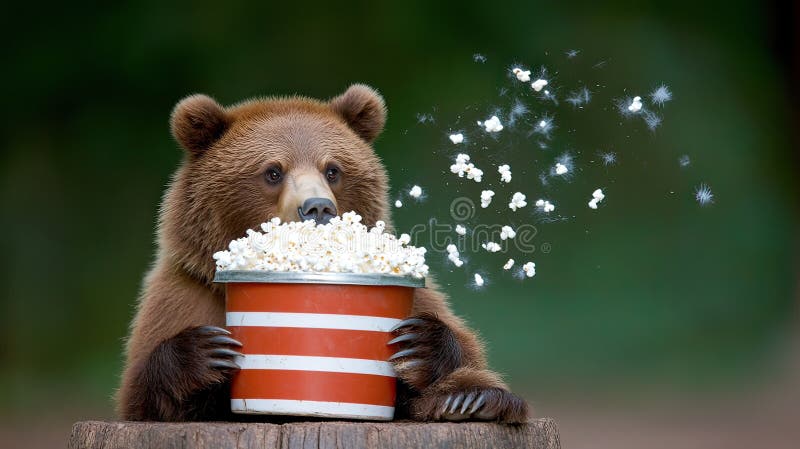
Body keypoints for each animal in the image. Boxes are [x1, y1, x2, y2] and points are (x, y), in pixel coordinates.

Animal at [116, 84, 530, 423]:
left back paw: (473, 400)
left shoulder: (417, 298)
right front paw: (207, 351)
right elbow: (143, 397)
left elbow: (456, 346)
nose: (317, 207)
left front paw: (421, 344)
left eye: (333, 170)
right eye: (272, 171)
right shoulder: (186, 293)